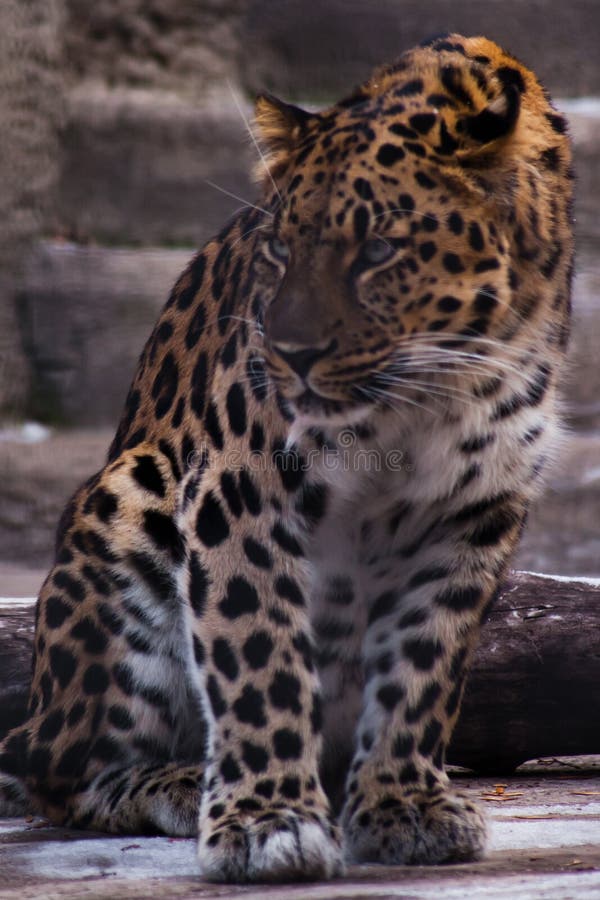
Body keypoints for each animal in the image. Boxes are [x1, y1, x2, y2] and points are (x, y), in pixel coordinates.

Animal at [0, 34, 573, 883]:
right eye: (278, 247)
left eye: (378, 250)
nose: (292, 356)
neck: (431, 397)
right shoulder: (238, 487)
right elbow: (257, 651)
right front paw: (267, 822)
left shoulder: (473, 512)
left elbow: (422, 667)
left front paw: (404, 804)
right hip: (129, 499)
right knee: (63, 776)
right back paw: (182, 782)